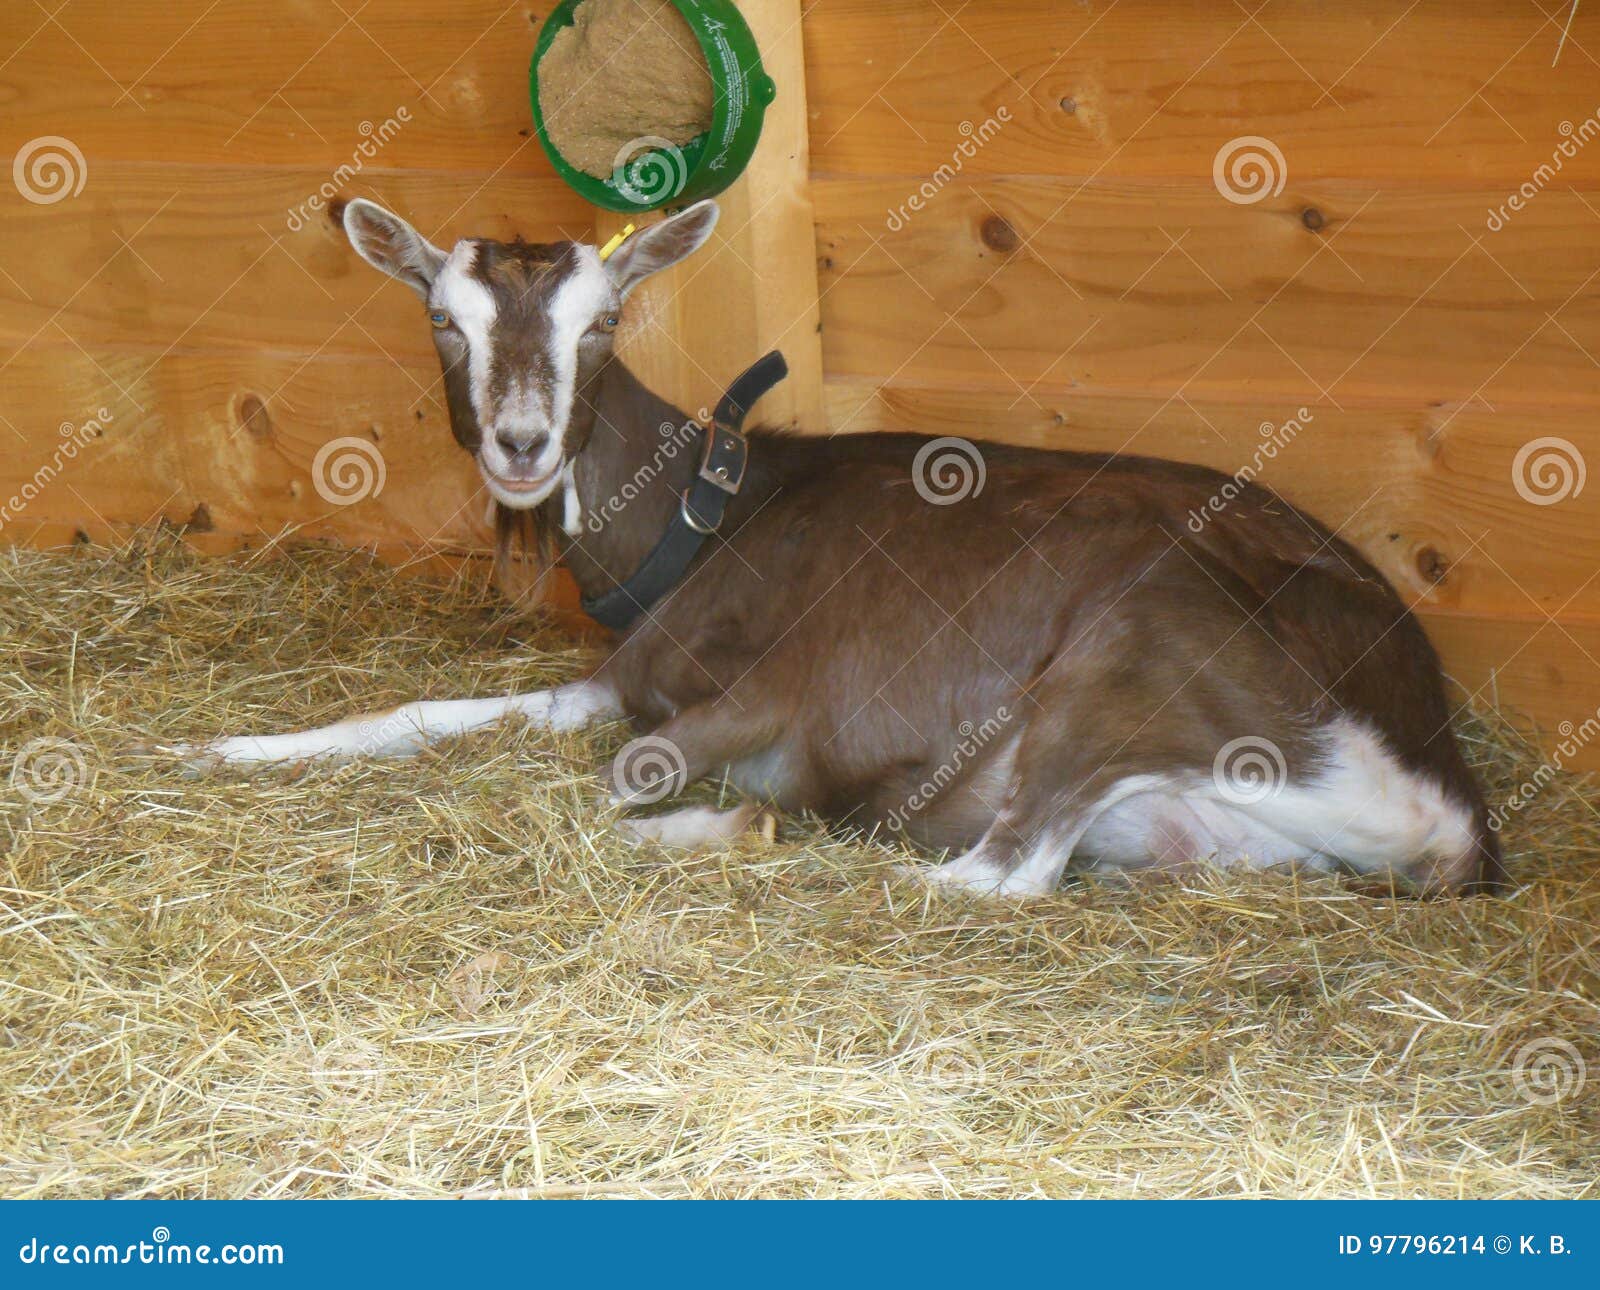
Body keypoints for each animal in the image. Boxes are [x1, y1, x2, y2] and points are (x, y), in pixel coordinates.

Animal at [173, 198, 1505, 897]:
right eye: (443, 319)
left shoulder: (784, 694)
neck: (716, 516)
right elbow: (413, 715)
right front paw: (213, 746)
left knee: (989, 871)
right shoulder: (616, 677)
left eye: (603, 322)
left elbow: (616, 776)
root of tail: (1448, 795)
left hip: (1131, 649)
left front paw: (704, 818)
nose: (520, 443)